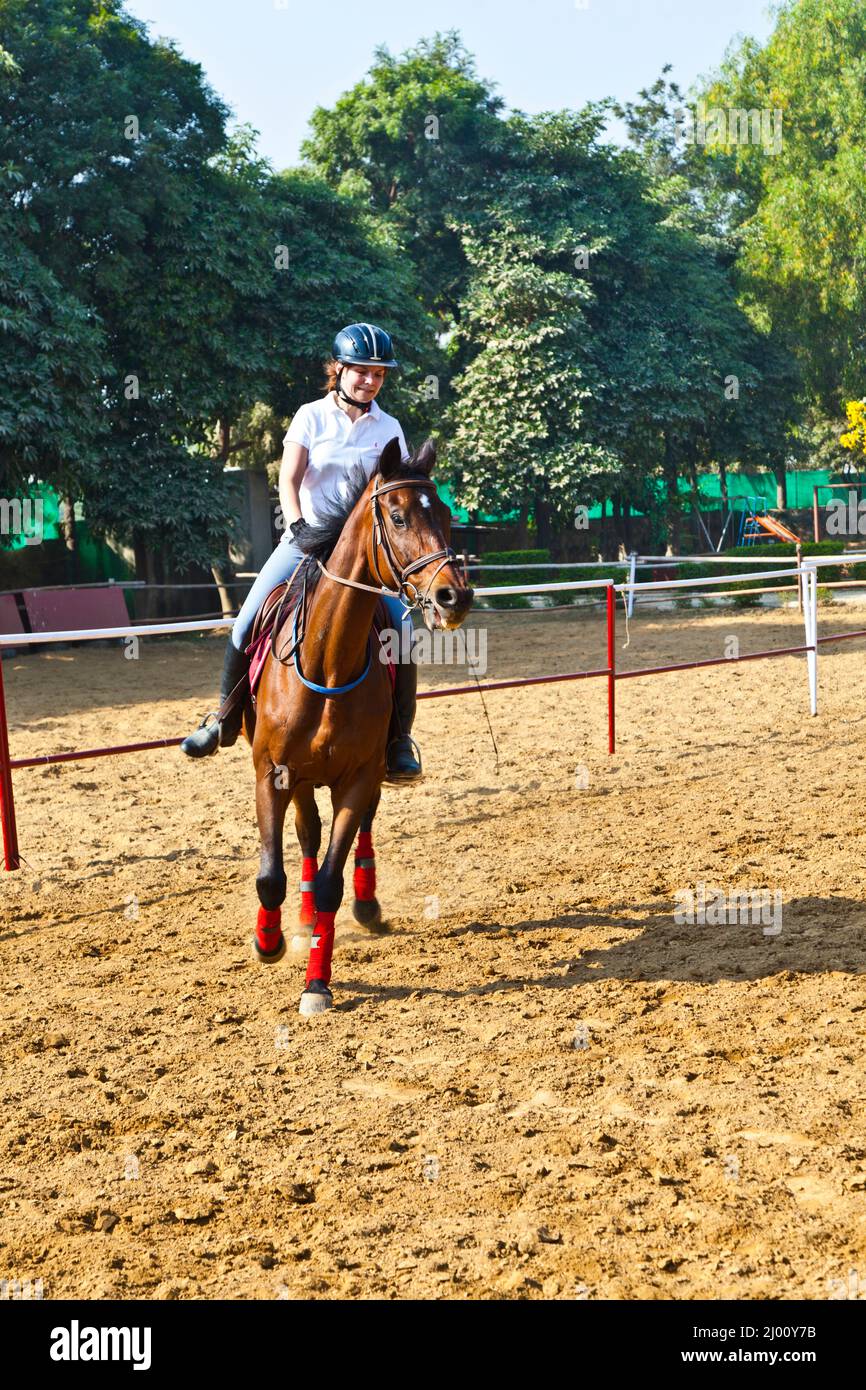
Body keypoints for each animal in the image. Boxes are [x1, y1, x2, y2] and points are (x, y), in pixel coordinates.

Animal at [243, 436, 474, 1015]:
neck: (327, 661)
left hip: (367, 773)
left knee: (359, 829)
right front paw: (269, 942)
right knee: (305, 833)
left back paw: (365, 906)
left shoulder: (357, 778)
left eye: (444, 514)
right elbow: (271, 875)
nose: (455, 597)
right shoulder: (272, 774)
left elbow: (332, 880)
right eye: (398, 516)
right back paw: (299, 920)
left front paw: (316, 984)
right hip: (300, 780)